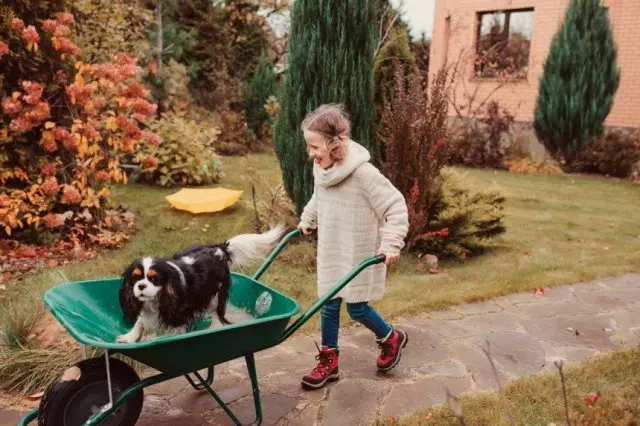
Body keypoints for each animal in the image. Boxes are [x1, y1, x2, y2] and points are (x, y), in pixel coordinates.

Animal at [115, 226, 284, 342]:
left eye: (154, 279)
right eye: (135, 278)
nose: (141, 286)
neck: (156, 300)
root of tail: (218, 248)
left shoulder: (179, 316)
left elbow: (169, 331)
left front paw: (152, 338)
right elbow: (140, 321)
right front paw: (129, 337)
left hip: (217, 293)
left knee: (217, 312)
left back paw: (214, 328)